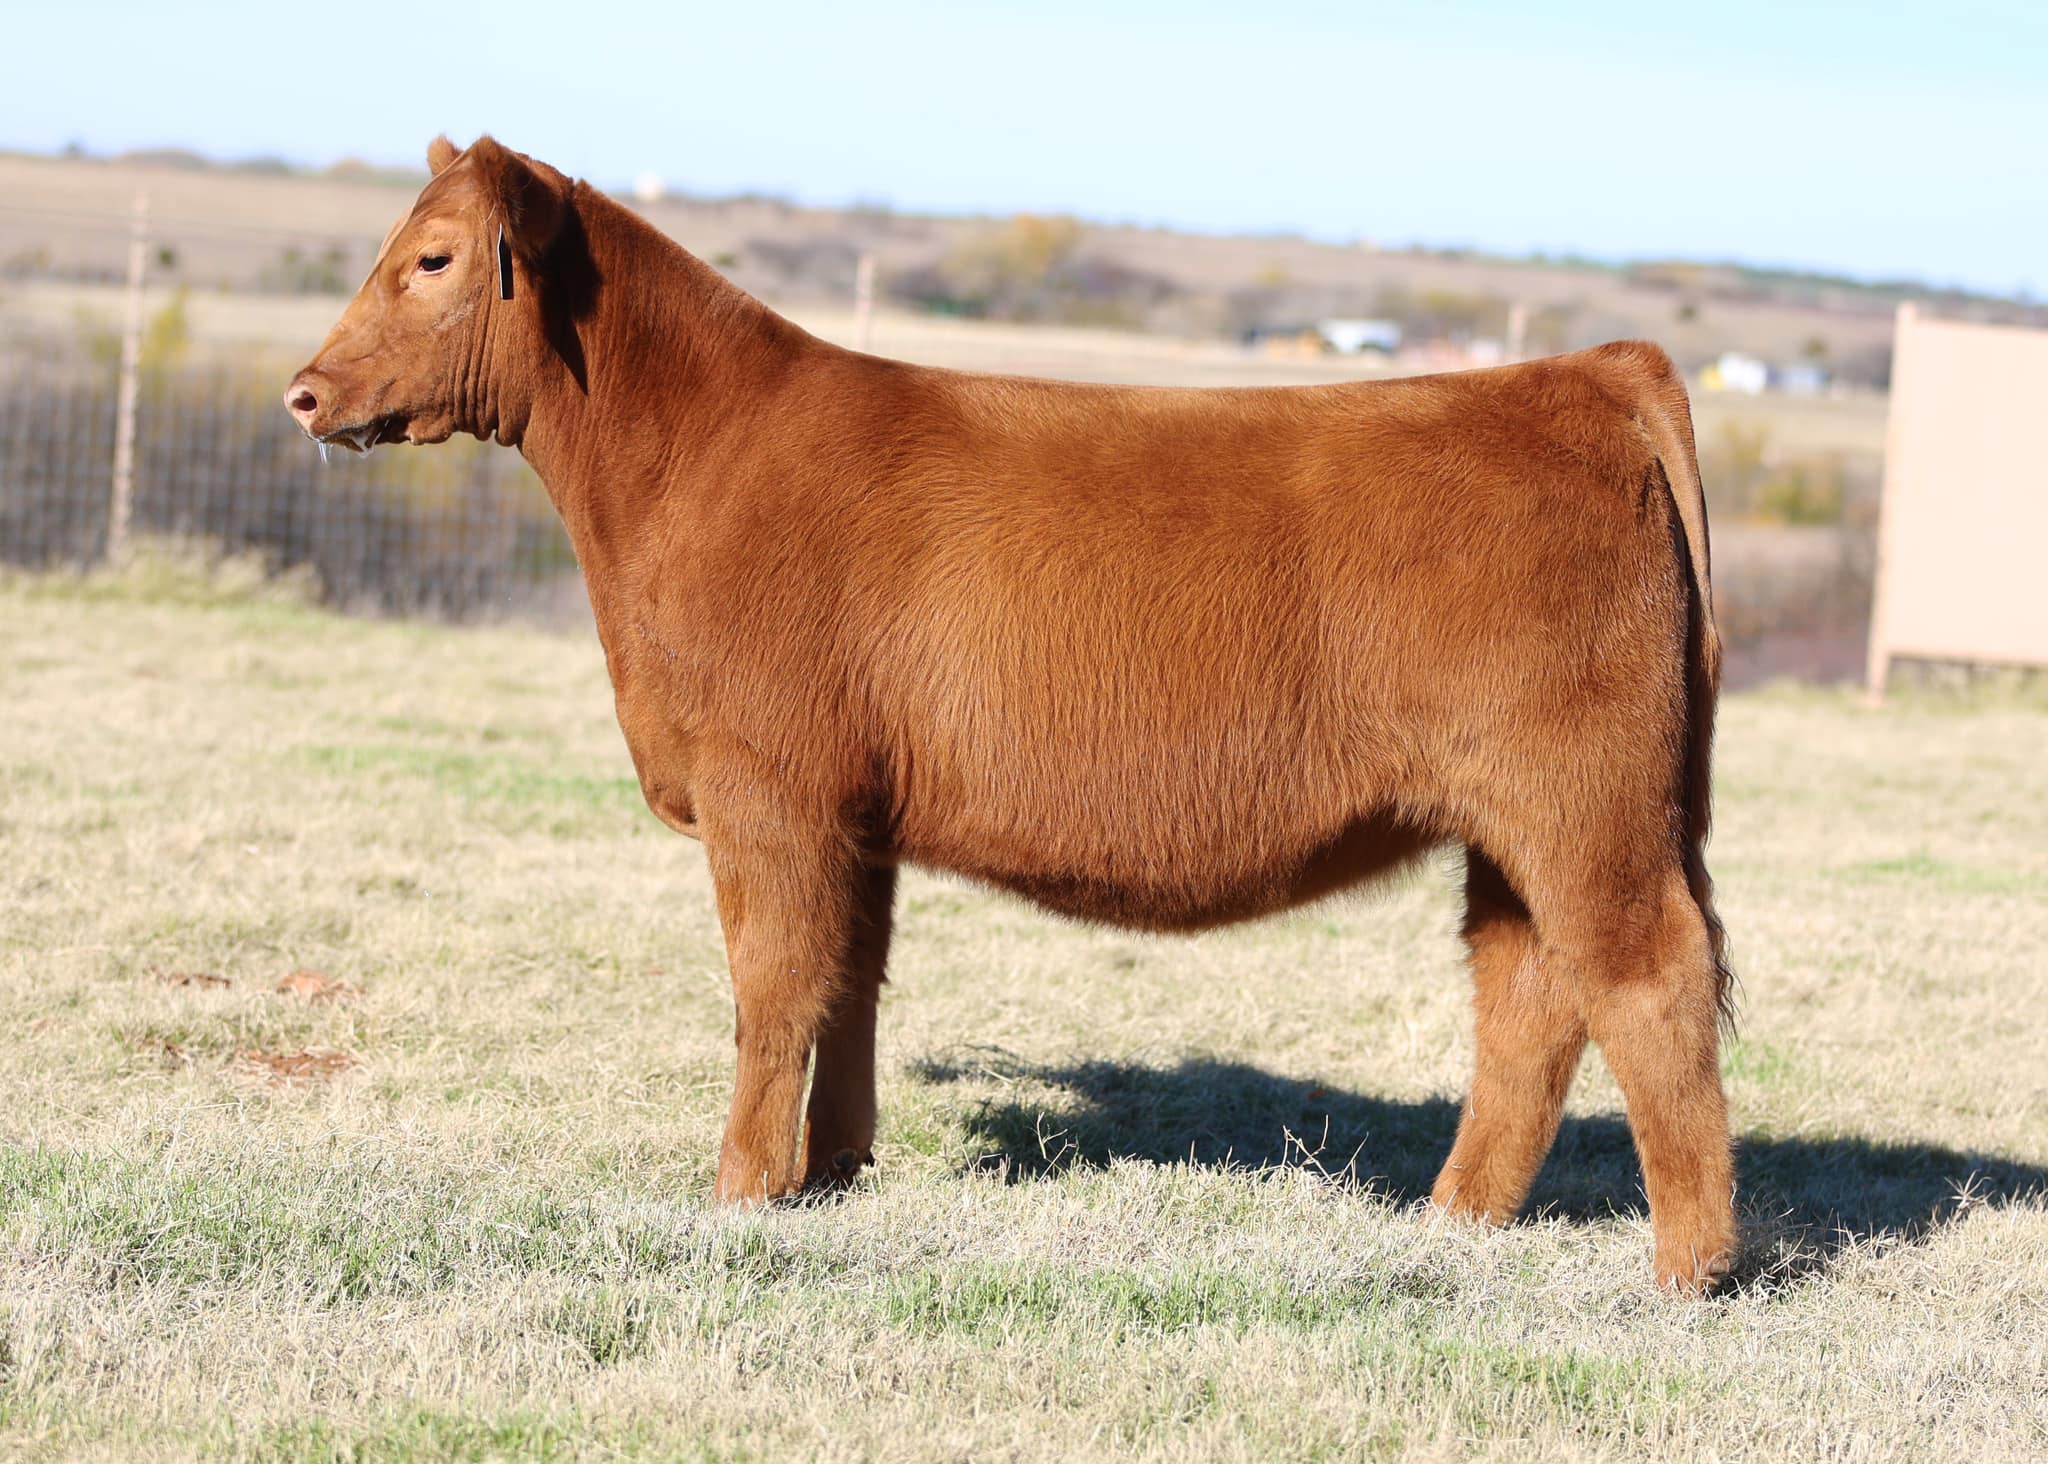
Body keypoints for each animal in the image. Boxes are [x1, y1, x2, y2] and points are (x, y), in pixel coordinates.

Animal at [286, 137, 1737, 1291]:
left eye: (433, 259)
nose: (305, 391)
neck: (684, 469)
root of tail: (1585, 371)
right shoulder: (853, 812)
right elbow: (847, 980)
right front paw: (832, 1170)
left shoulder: (769, 790)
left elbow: (770, 984)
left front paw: (740, 1191)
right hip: (1517, 824)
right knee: (1530, 992)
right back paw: (1454, 1221)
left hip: (1584, 799)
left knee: (1647, 976)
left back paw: (1689, 1267)